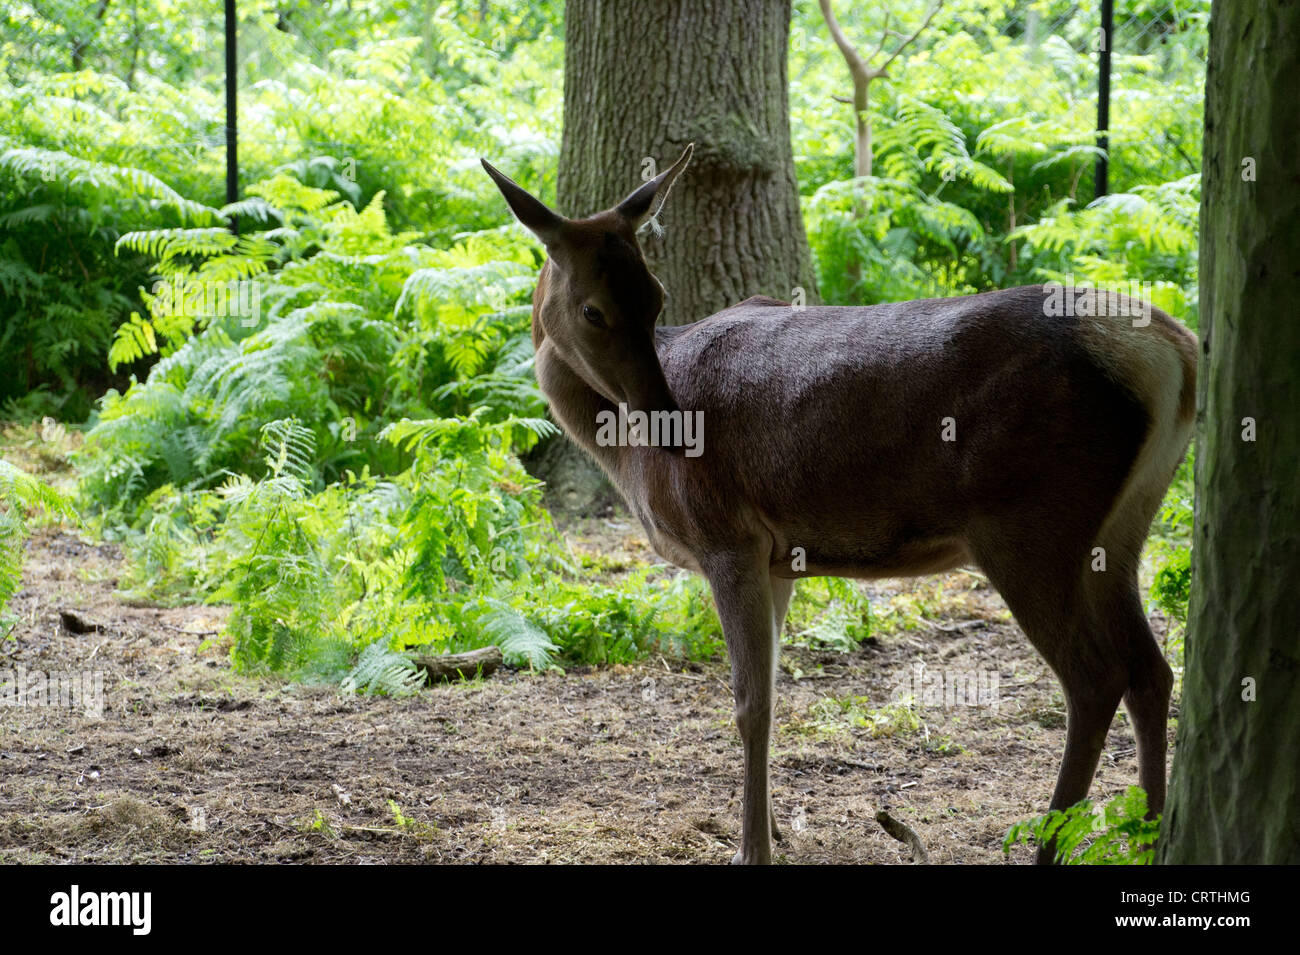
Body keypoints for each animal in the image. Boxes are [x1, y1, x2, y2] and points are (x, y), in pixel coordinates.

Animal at [481, 144, 1197, 864]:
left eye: (655, 297)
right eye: (594, 310)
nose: (669, 422)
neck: (626, 460)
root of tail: (1178, 353)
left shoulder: (727, 537)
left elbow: (750, 703)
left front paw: (753, 848)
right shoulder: (777, 559)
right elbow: (771, 688)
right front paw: (769, 827)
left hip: (1030, 525)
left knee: (1095, 678)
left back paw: (1051, 845)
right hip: (1122, 528)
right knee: (1152, 669)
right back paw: (1148, 835)